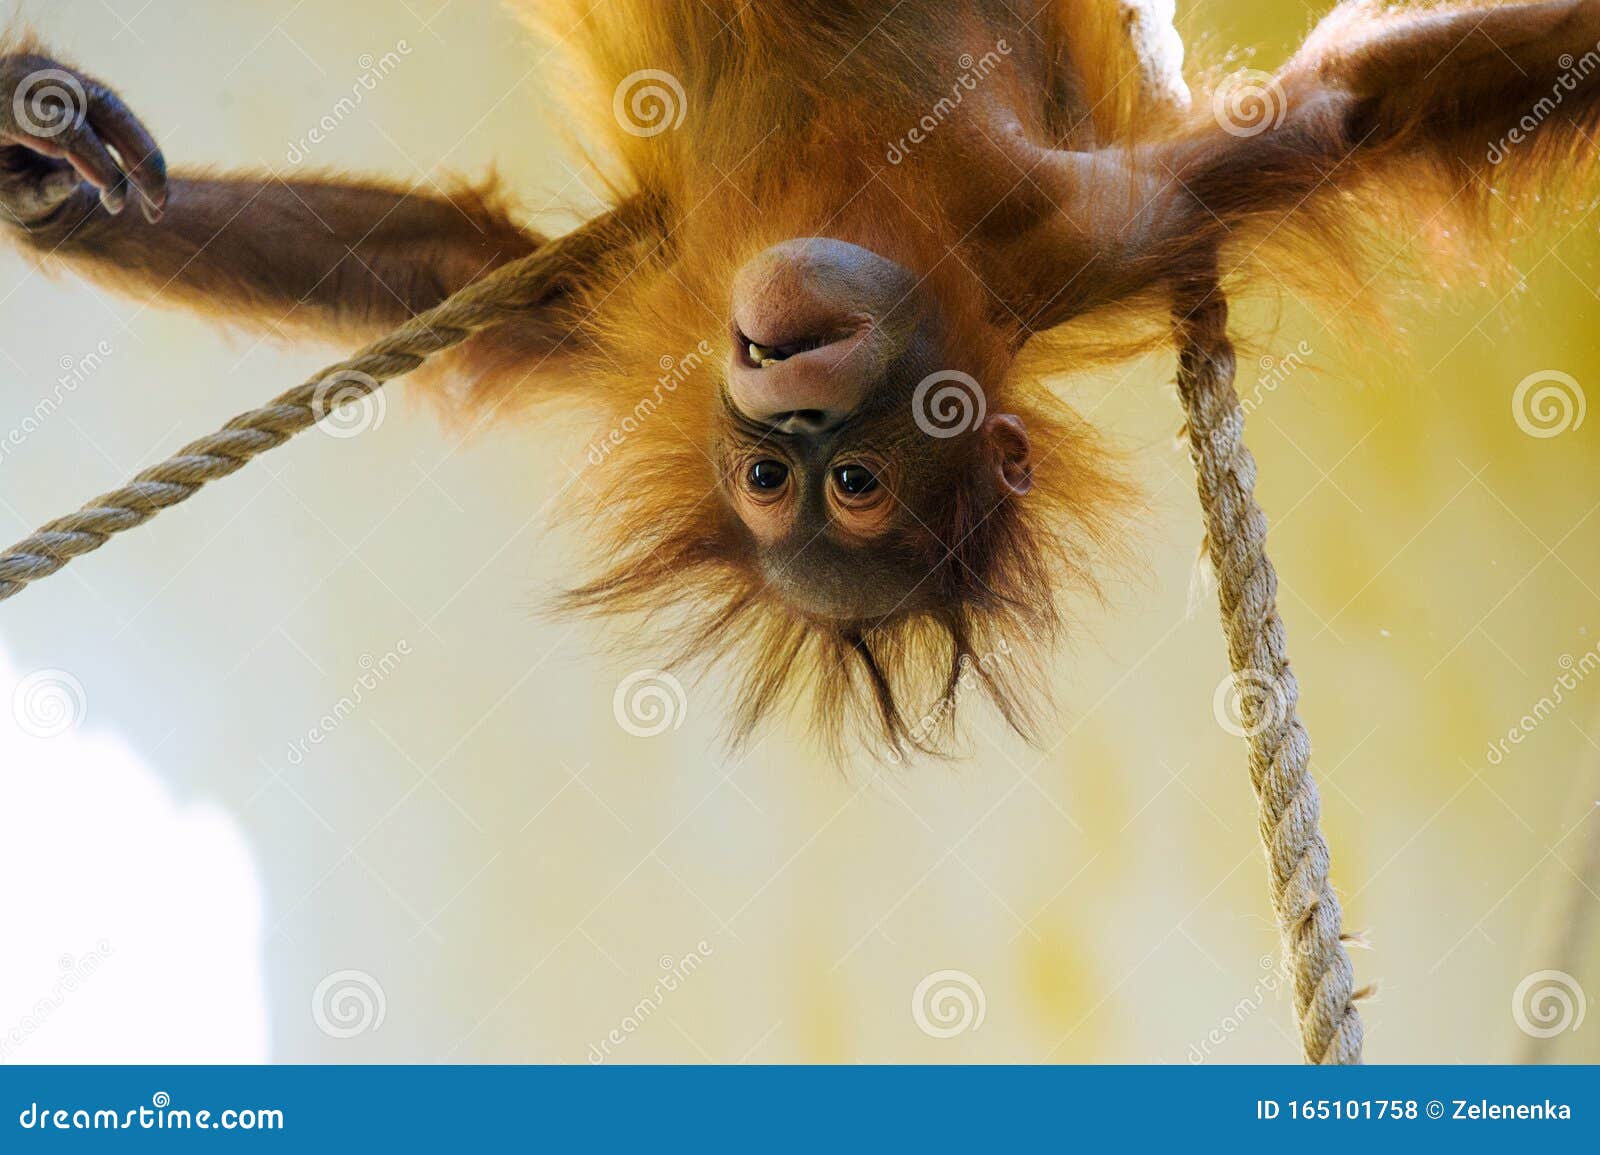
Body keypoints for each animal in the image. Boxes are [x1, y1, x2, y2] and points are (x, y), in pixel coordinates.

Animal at [3, 1, 1599, 758]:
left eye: (853, 486)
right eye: (771, 478)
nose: (791, 396)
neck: (864, 205)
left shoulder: (1105, 229)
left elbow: (1351, 107)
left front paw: (48, 185)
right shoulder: (667, 300)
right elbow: (453, 267)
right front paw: (46, 165)